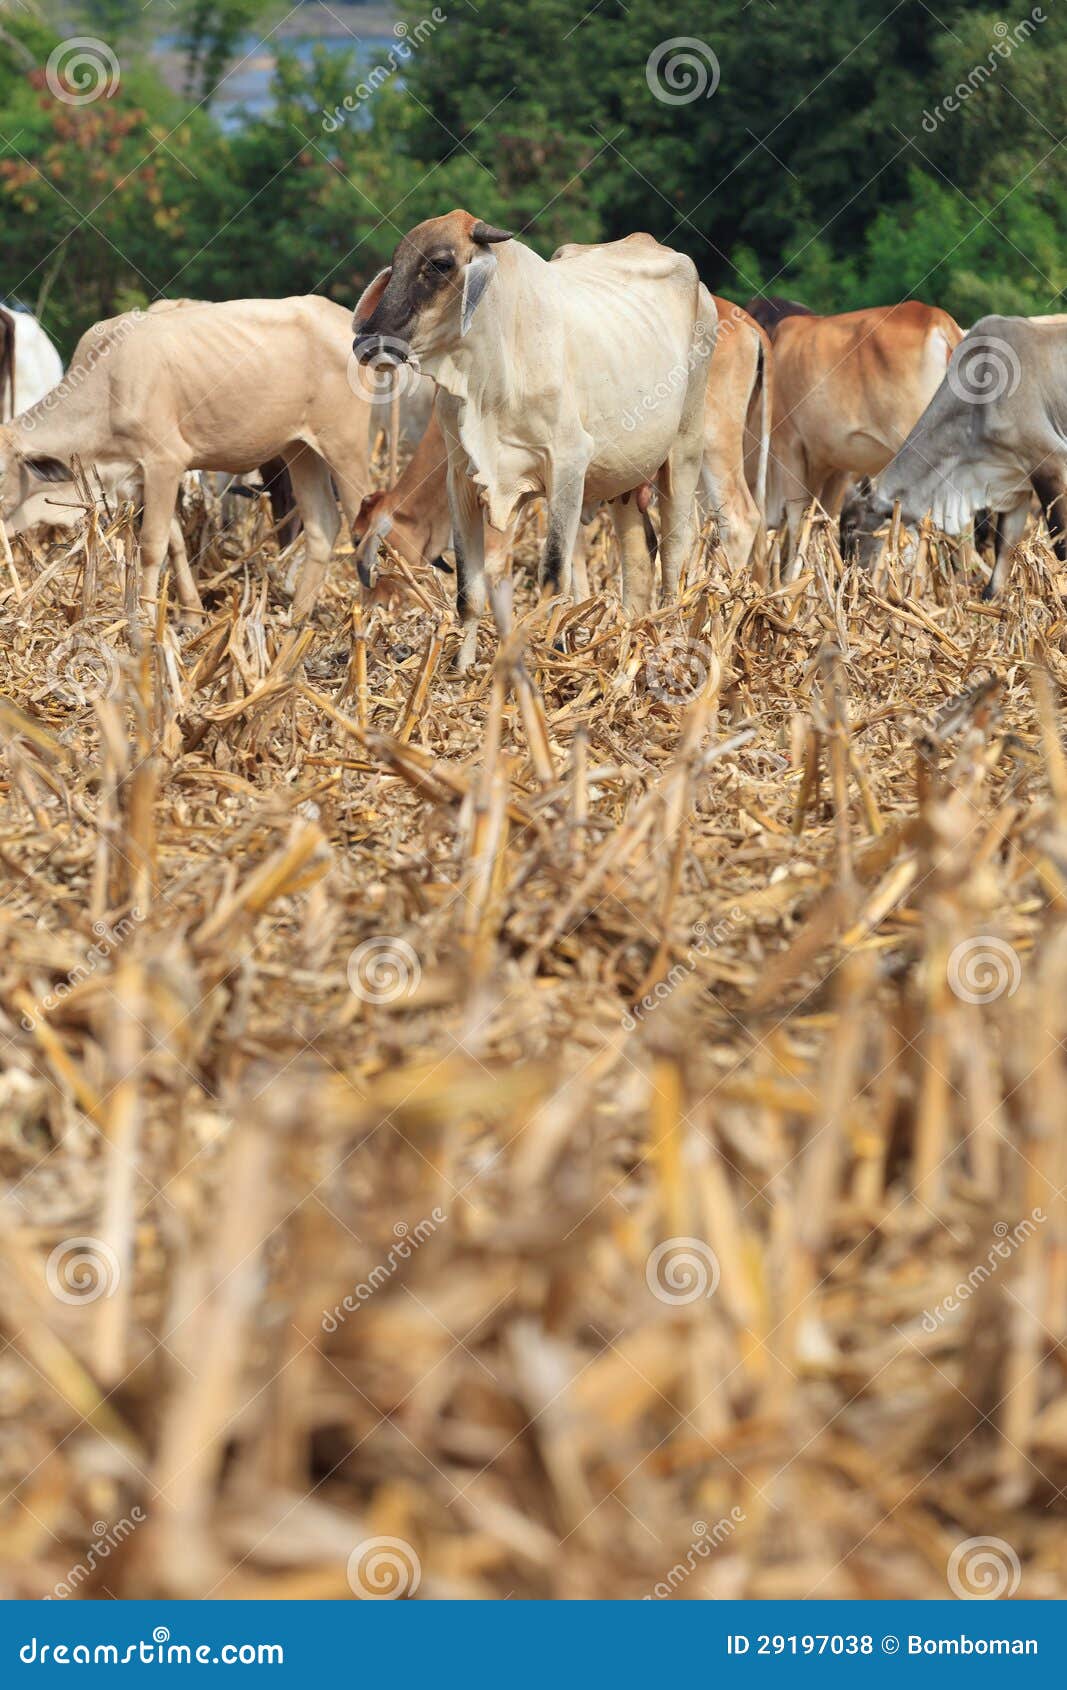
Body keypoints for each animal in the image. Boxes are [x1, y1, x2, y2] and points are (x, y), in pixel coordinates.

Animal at [0, 297, 372, 620]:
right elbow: (174, 541)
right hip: (301, 450)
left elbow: (153, 545)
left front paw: (145, 618)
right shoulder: (139, 477)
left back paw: (368, 617)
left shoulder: (165, 462)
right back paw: (296, 619)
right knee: (323, 525)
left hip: (346, 446)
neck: (108, 381)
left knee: (362, 517)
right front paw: (191, 615)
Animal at [353, 211, 716, 669]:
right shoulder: (463, 478)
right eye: (395, 262)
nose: (367, 339)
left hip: (685, 448)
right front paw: (461, 668)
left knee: (674, 551)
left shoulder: (567, 466)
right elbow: (469, 589)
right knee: (637, 557)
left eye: (439, 264)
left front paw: (545, 658)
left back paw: (672, 638)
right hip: (627, 476)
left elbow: (553, 577)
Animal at [839, 315, 1067, 599]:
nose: (846, 580)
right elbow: (1001, 557)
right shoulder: (1013, 486)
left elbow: (1061, 544)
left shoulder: (1049, 463)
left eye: (851, 526)